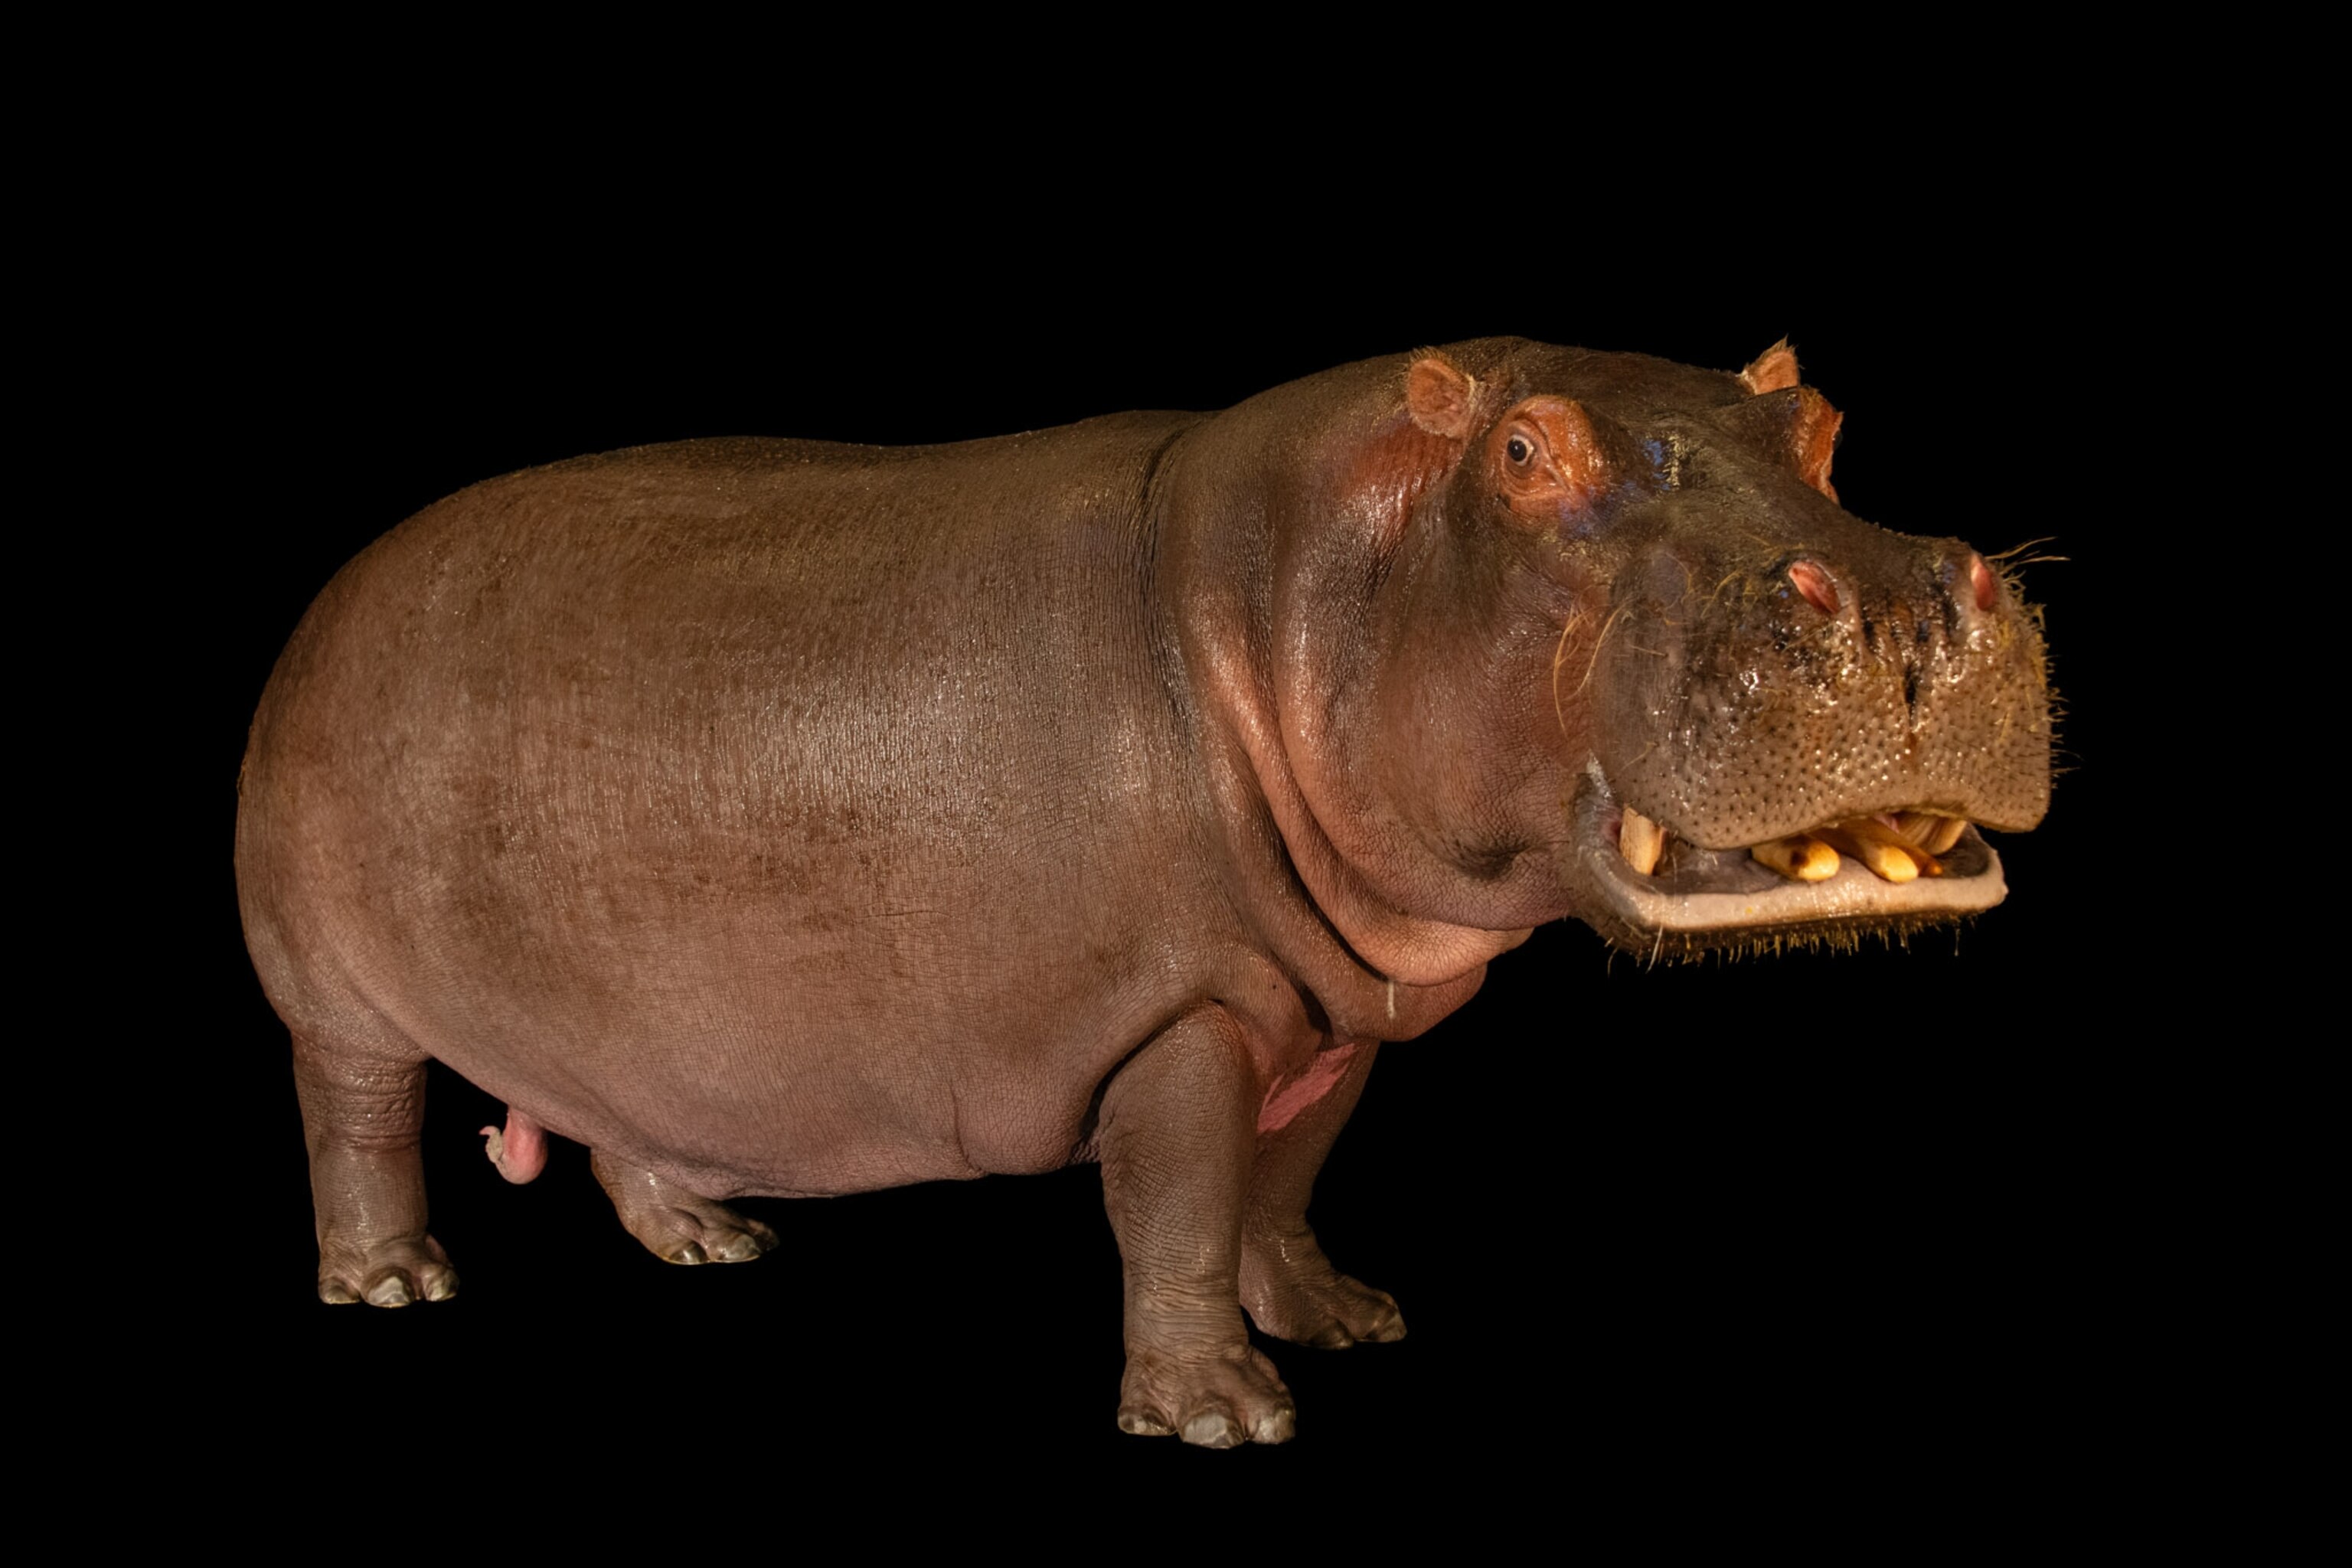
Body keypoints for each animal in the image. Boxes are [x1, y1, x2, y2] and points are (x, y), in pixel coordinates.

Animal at [236, 338, 2051, 1447]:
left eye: (1821, 425)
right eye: (1525, 450)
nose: (1899, 605)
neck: (1284, 583)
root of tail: (329, 595)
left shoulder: (1335, 1014)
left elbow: (1282, 1186)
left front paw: (1344, 1319)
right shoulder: (1181, 1015)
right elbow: (1177, 1204)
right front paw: (1224, 1413)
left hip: (635, 1009)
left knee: (622, 1110)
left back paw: (711, 1240)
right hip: (328, 987)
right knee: (357, 1117)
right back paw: (394, 1283)